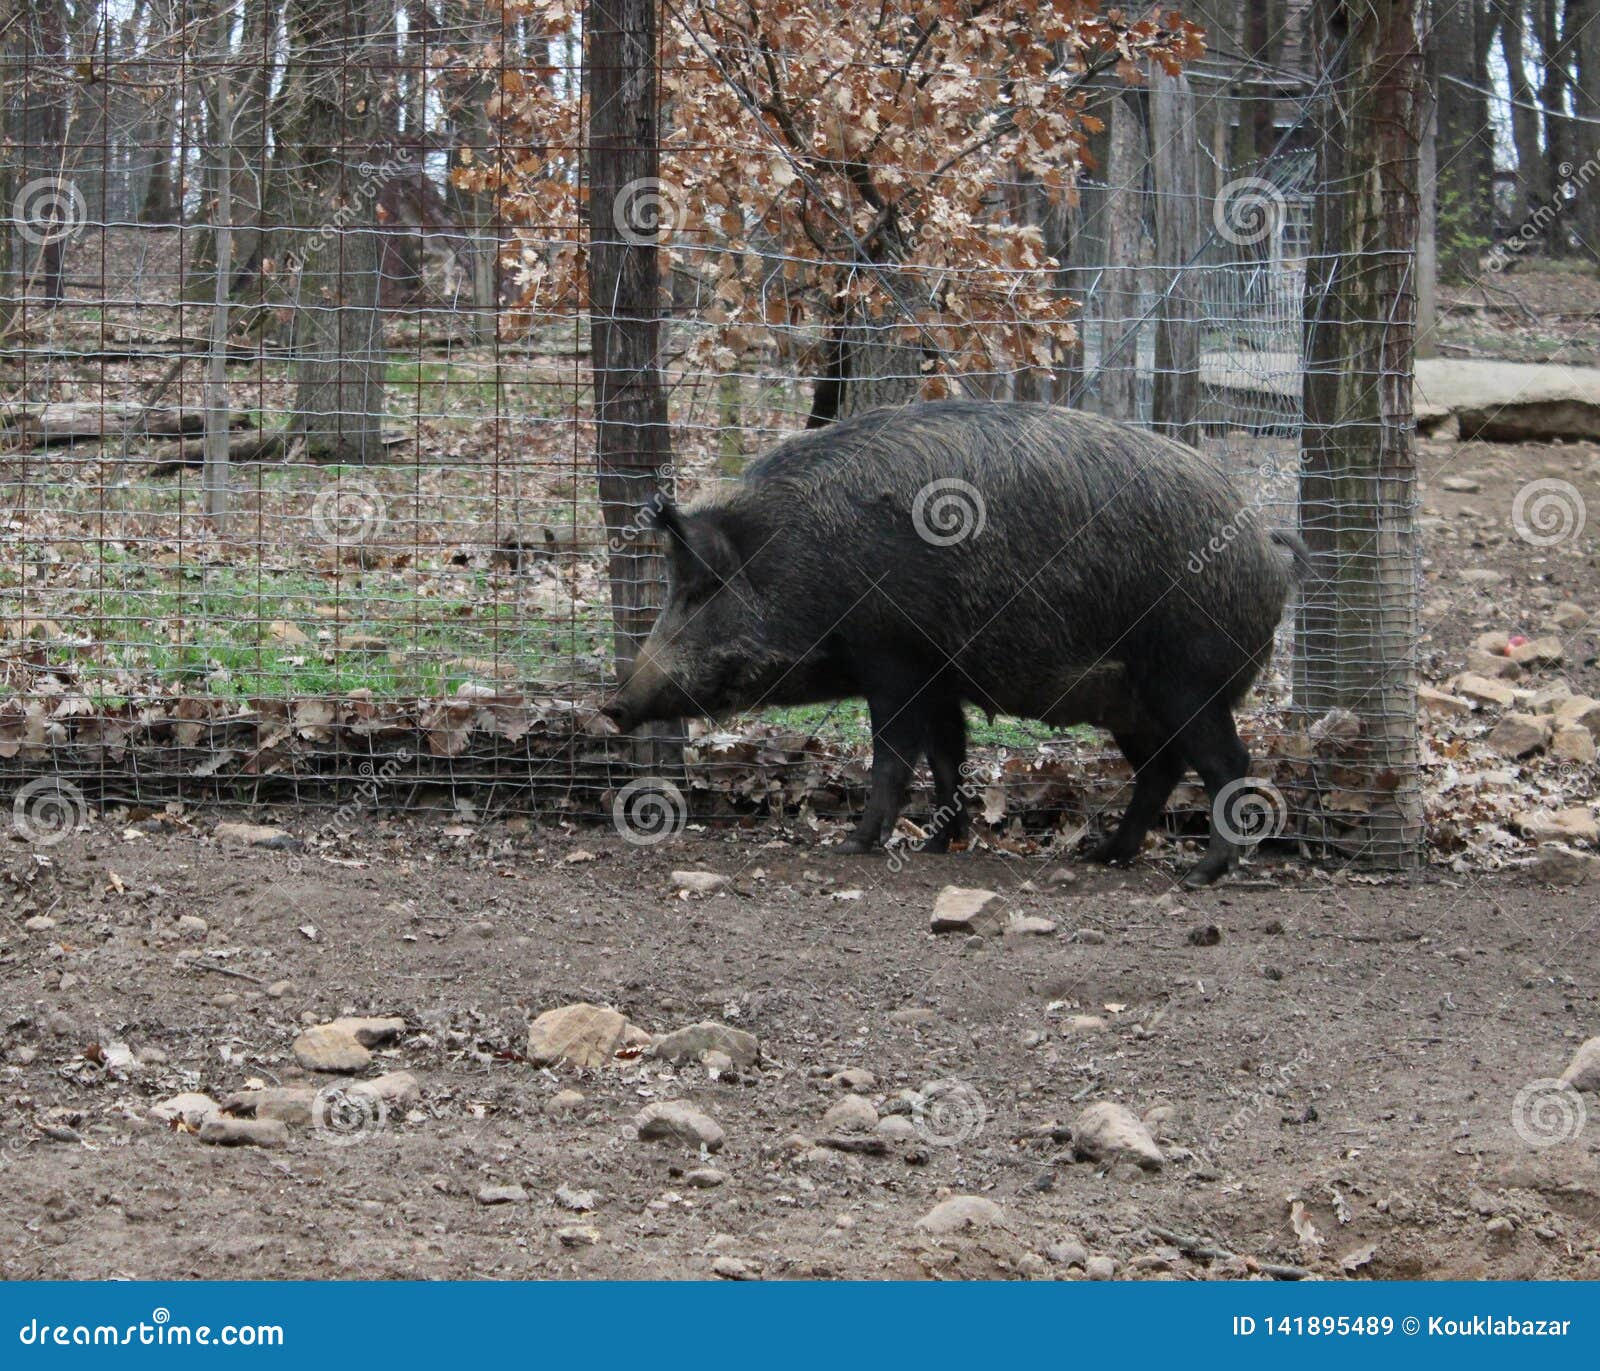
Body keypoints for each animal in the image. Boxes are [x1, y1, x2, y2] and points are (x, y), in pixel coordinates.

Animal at [603, 400, 1305, 886]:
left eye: (699, 591)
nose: (611, 707)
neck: (800, 558)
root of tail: (1265, 546)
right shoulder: (939, 676)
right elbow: (947, 759)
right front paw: (937, 845)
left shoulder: (894, 660)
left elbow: (893, 757)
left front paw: (855, 844)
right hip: (1135, 703)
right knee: (1161, 769)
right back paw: (1103, 856)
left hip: (1190, 682)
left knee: (1228, 765)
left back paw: (1200, 875)